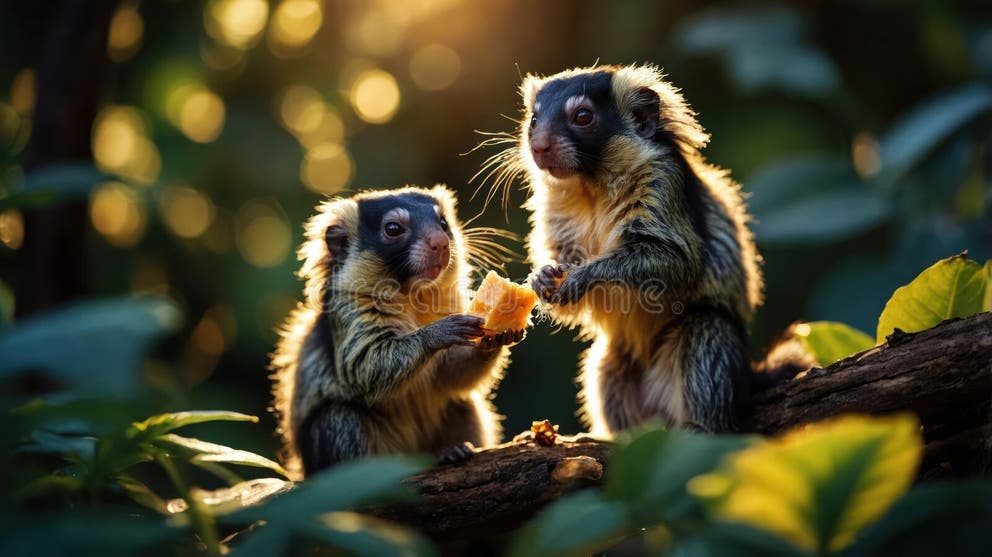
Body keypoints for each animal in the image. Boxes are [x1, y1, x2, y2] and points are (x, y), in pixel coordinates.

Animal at [270, 185, 525, 477]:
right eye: (392, 229)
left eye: (443, 223)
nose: (441, 243)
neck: (413, 295)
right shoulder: (349, 314)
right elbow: (366, 364)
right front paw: (438, 332)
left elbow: (450, 377)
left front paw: (496, 339)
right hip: (335, 432)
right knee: (343, 422)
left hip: (461, 412)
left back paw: (451, 451)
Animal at [480, 64, 813, 436]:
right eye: (534, 118)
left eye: (583, 116)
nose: (539, 147)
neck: (589, 187)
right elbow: (562, 267)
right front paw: (543, 277)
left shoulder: (662, 184)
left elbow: (674, 258)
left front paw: (582, 276)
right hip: (614, 362)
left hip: (707, 345)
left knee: (706, 348)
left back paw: (698, 428)